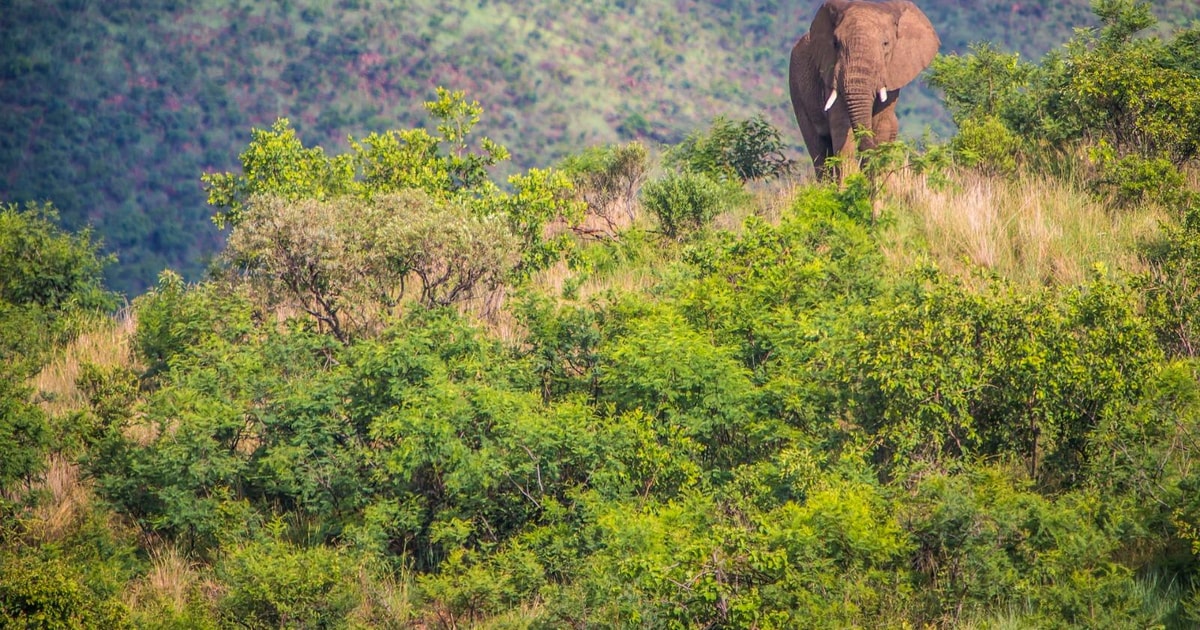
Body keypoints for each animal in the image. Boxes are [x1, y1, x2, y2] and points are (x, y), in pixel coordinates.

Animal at [789, 0, 940, 179]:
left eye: (886, 43)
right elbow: (842, 128)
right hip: (796, 88)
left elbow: (882, 124)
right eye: (836, 43)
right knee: (817, 148)